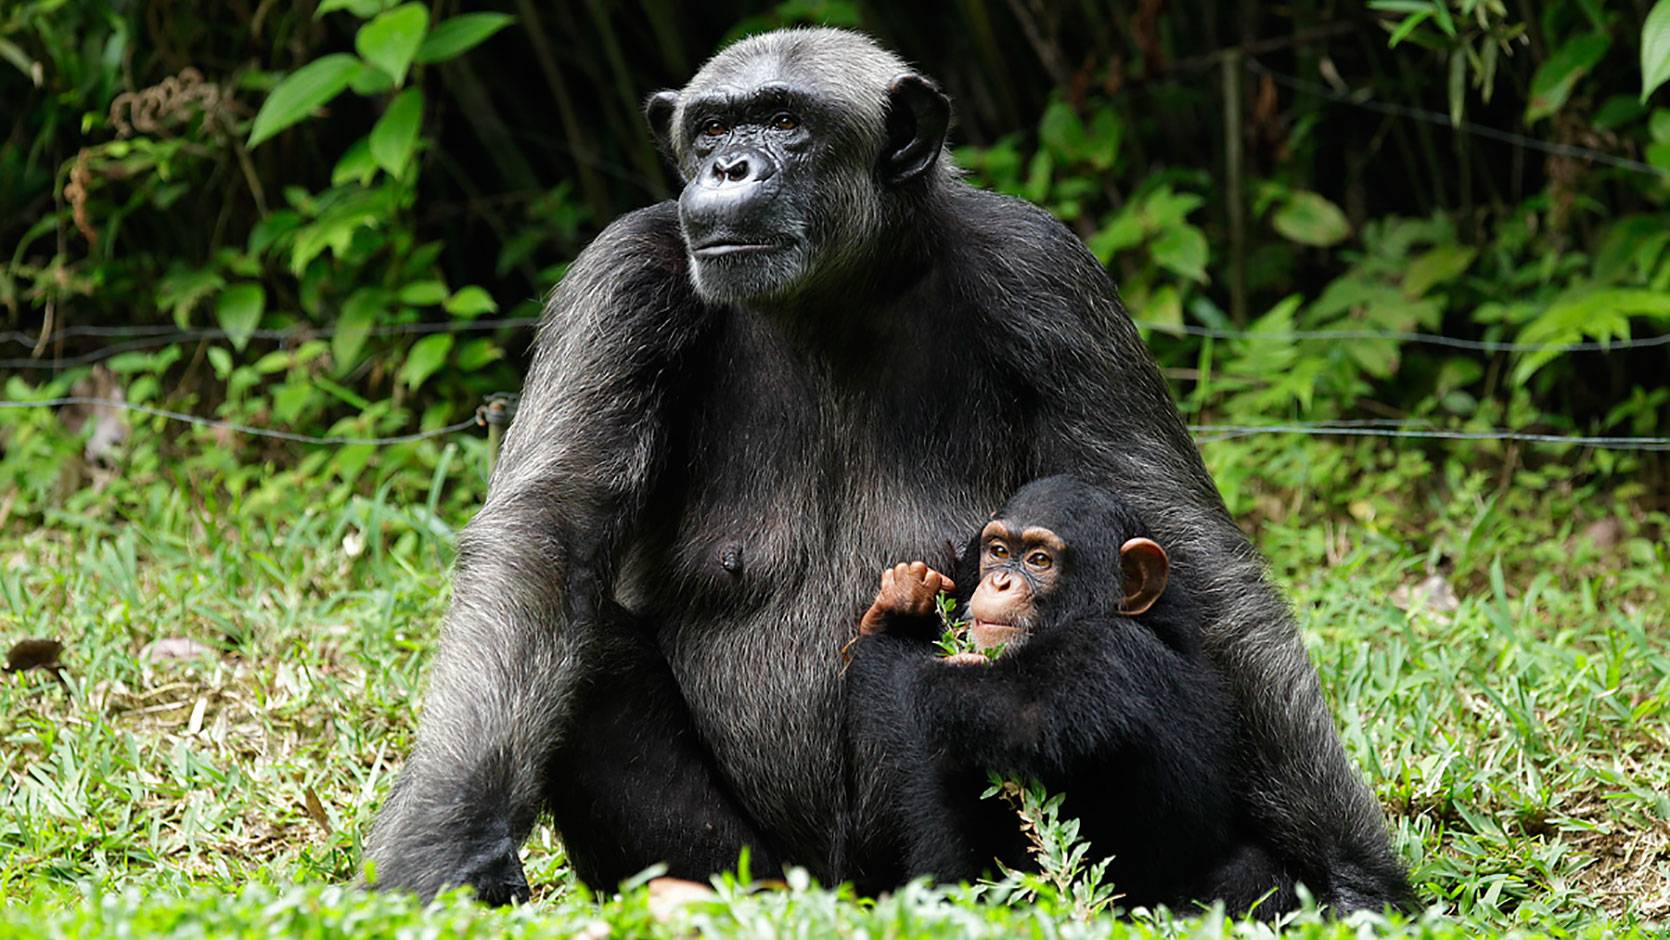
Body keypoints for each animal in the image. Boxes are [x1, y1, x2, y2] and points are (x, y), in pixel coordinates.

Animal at [842, 476, 1298, 917]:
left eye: (1039, 560)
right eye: (998, 550)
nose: (1000, 581)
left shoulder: (1103, 655)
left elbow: (1006, 710)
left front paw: (893, 621)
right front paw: (908, 598)